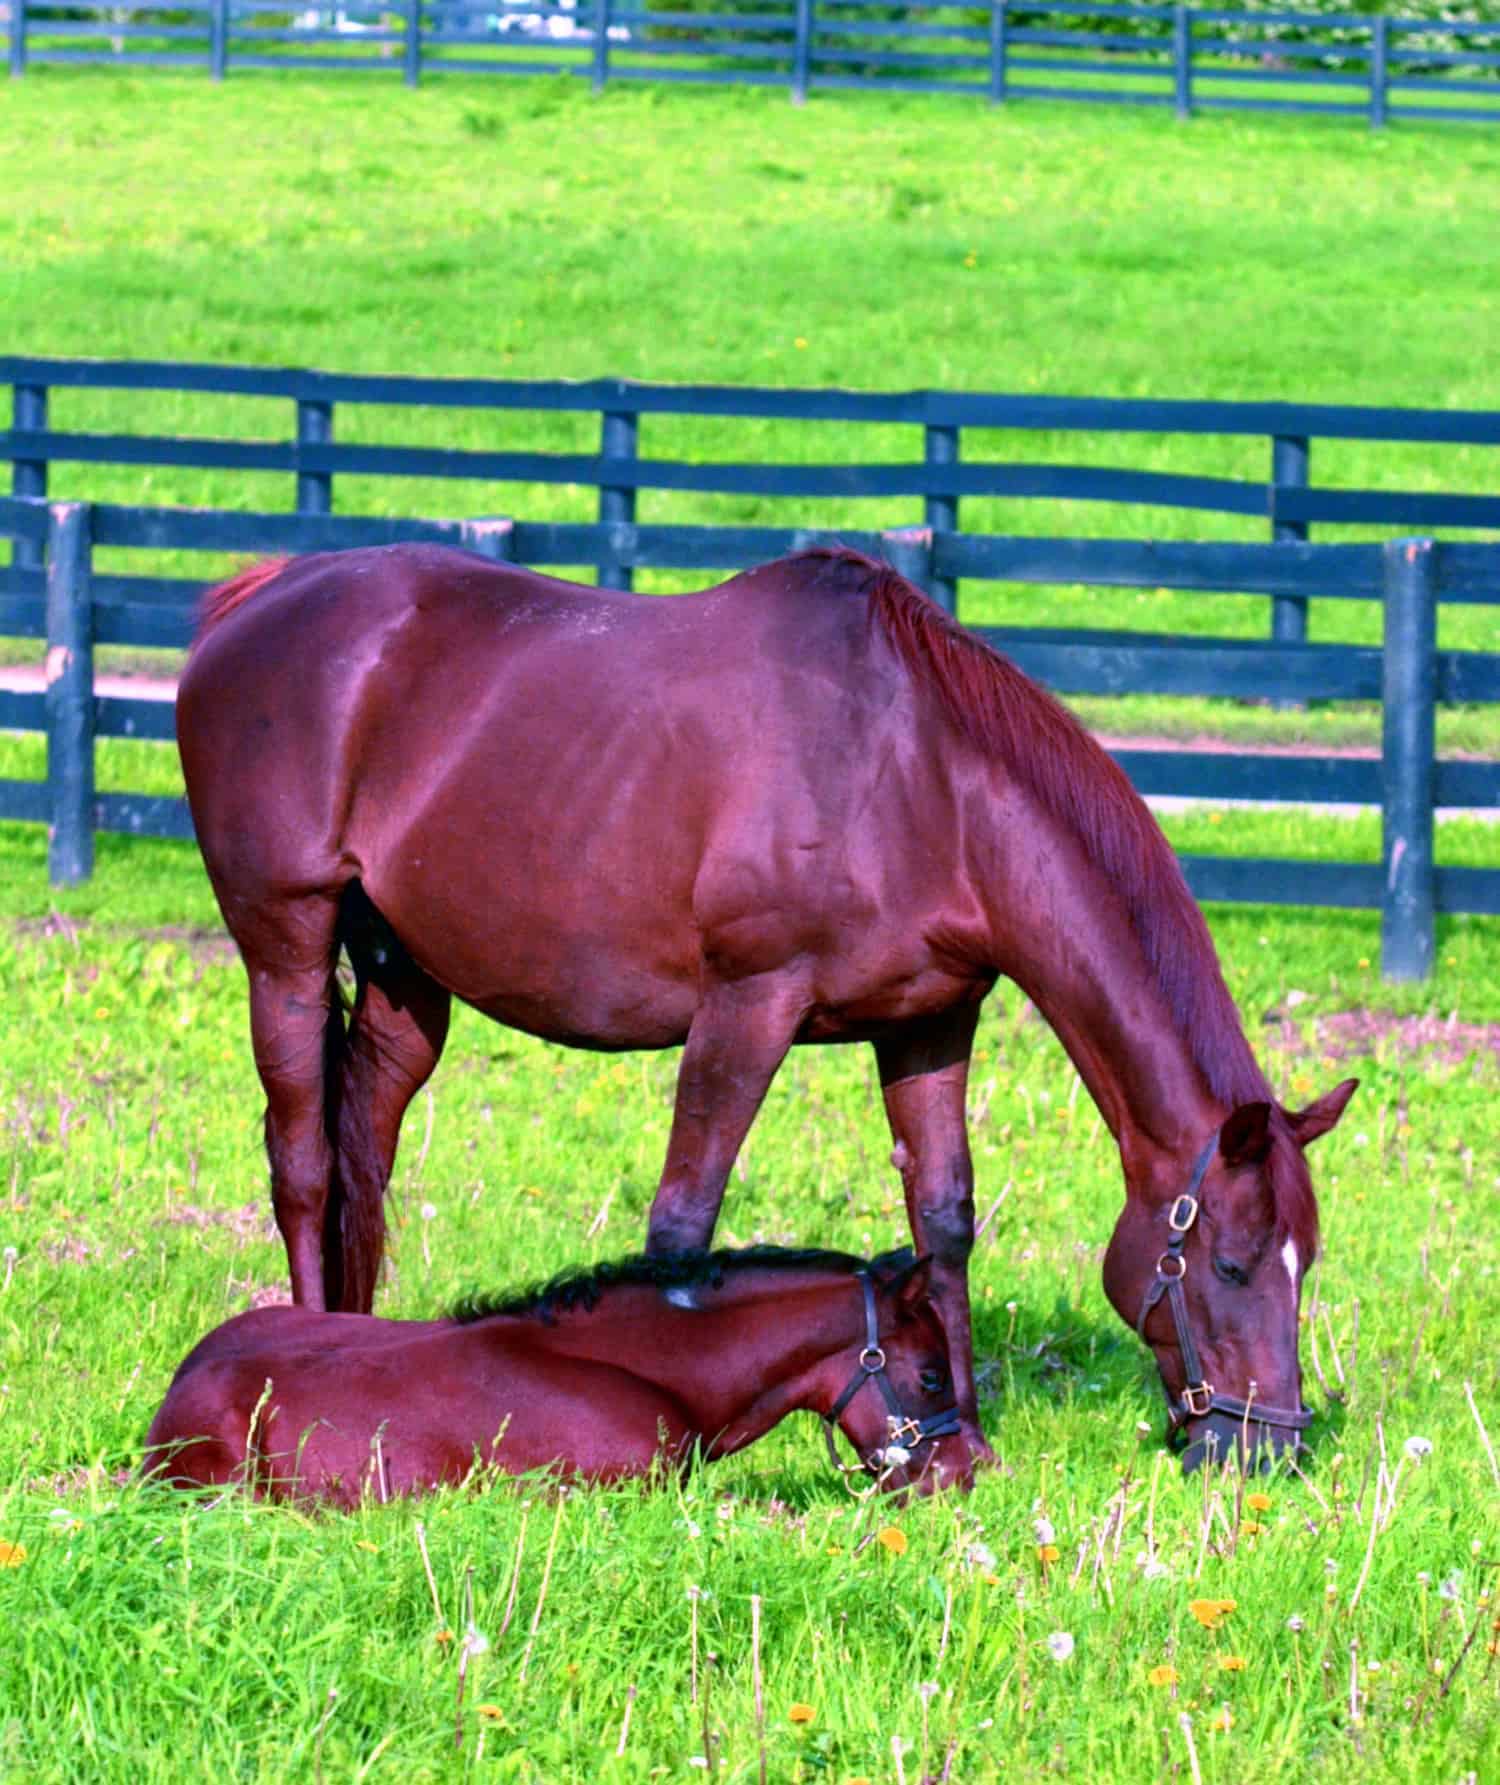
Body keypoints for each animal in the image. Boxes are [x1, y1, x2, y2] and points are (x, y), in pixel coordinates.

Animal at [177, 543, 1357, 1473]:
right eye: (1233, 1264)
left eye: (1307, 1259)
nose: (1268, 1450)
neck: (919, 778)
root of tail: (256, 598)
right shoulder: (749, 1004)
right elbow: (683, 1224)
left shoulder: (928, 1023)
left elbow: (943, 1223)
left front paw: (966, 1431)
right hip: (284, 945)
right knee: (305, 1165)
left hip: (406, 984)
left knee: (364, 1158)